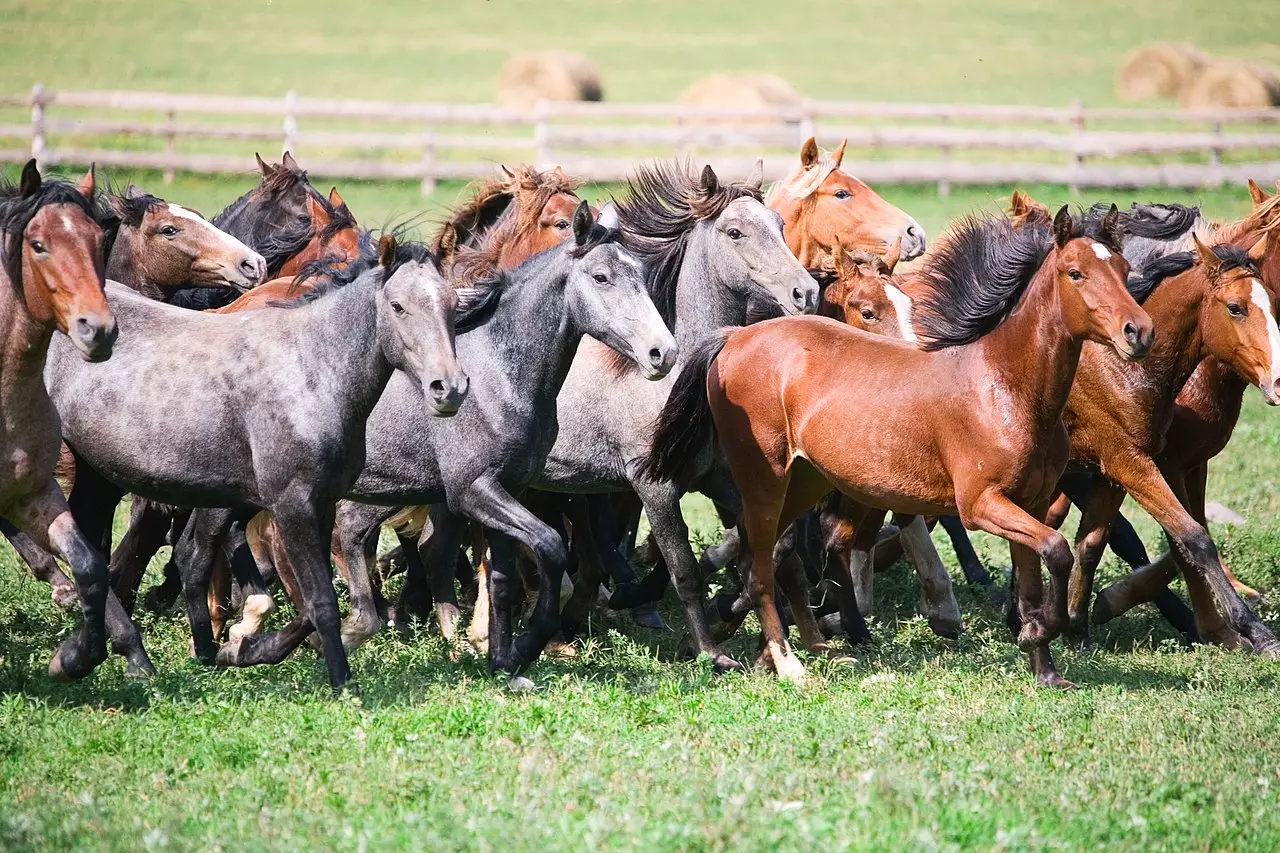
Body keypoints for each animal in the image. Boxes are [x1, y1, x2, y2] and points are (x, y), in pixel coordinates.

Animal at [0, 159, 152, 676]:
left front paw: (75, 657)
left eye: (95, 241)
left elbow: (89, 565)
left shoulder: (33, 493)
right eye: (37, 244)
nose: (98, 329)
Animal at [45, 235, 468, 686]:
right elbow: (320, 601)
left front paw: (243, 650)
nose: (449, 388)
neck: (311, 371)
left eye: (451, 303)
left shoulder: (321, 504)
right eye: (398, 306)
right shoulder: (291, 505)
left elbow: (308, 603)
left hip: (96, 474)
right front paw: (340, 679)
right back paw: (106, 656)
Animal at [645, 204, 1157, 686]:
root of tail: (736, 336)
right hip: (763, 484)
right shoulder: (981, 505)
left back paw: (777, 655)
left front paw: (1046, 668)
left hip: (804, 482)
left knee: (764, 559)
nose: (1139, 331)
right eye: (1075, 272)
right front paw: (1037, 635)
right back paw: (790, 665)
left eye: (1124, 269)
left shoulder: (1027, 504)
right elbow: (1059, 549)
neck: (1005, 386)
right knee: (760, 571)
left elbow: (1035, 579)